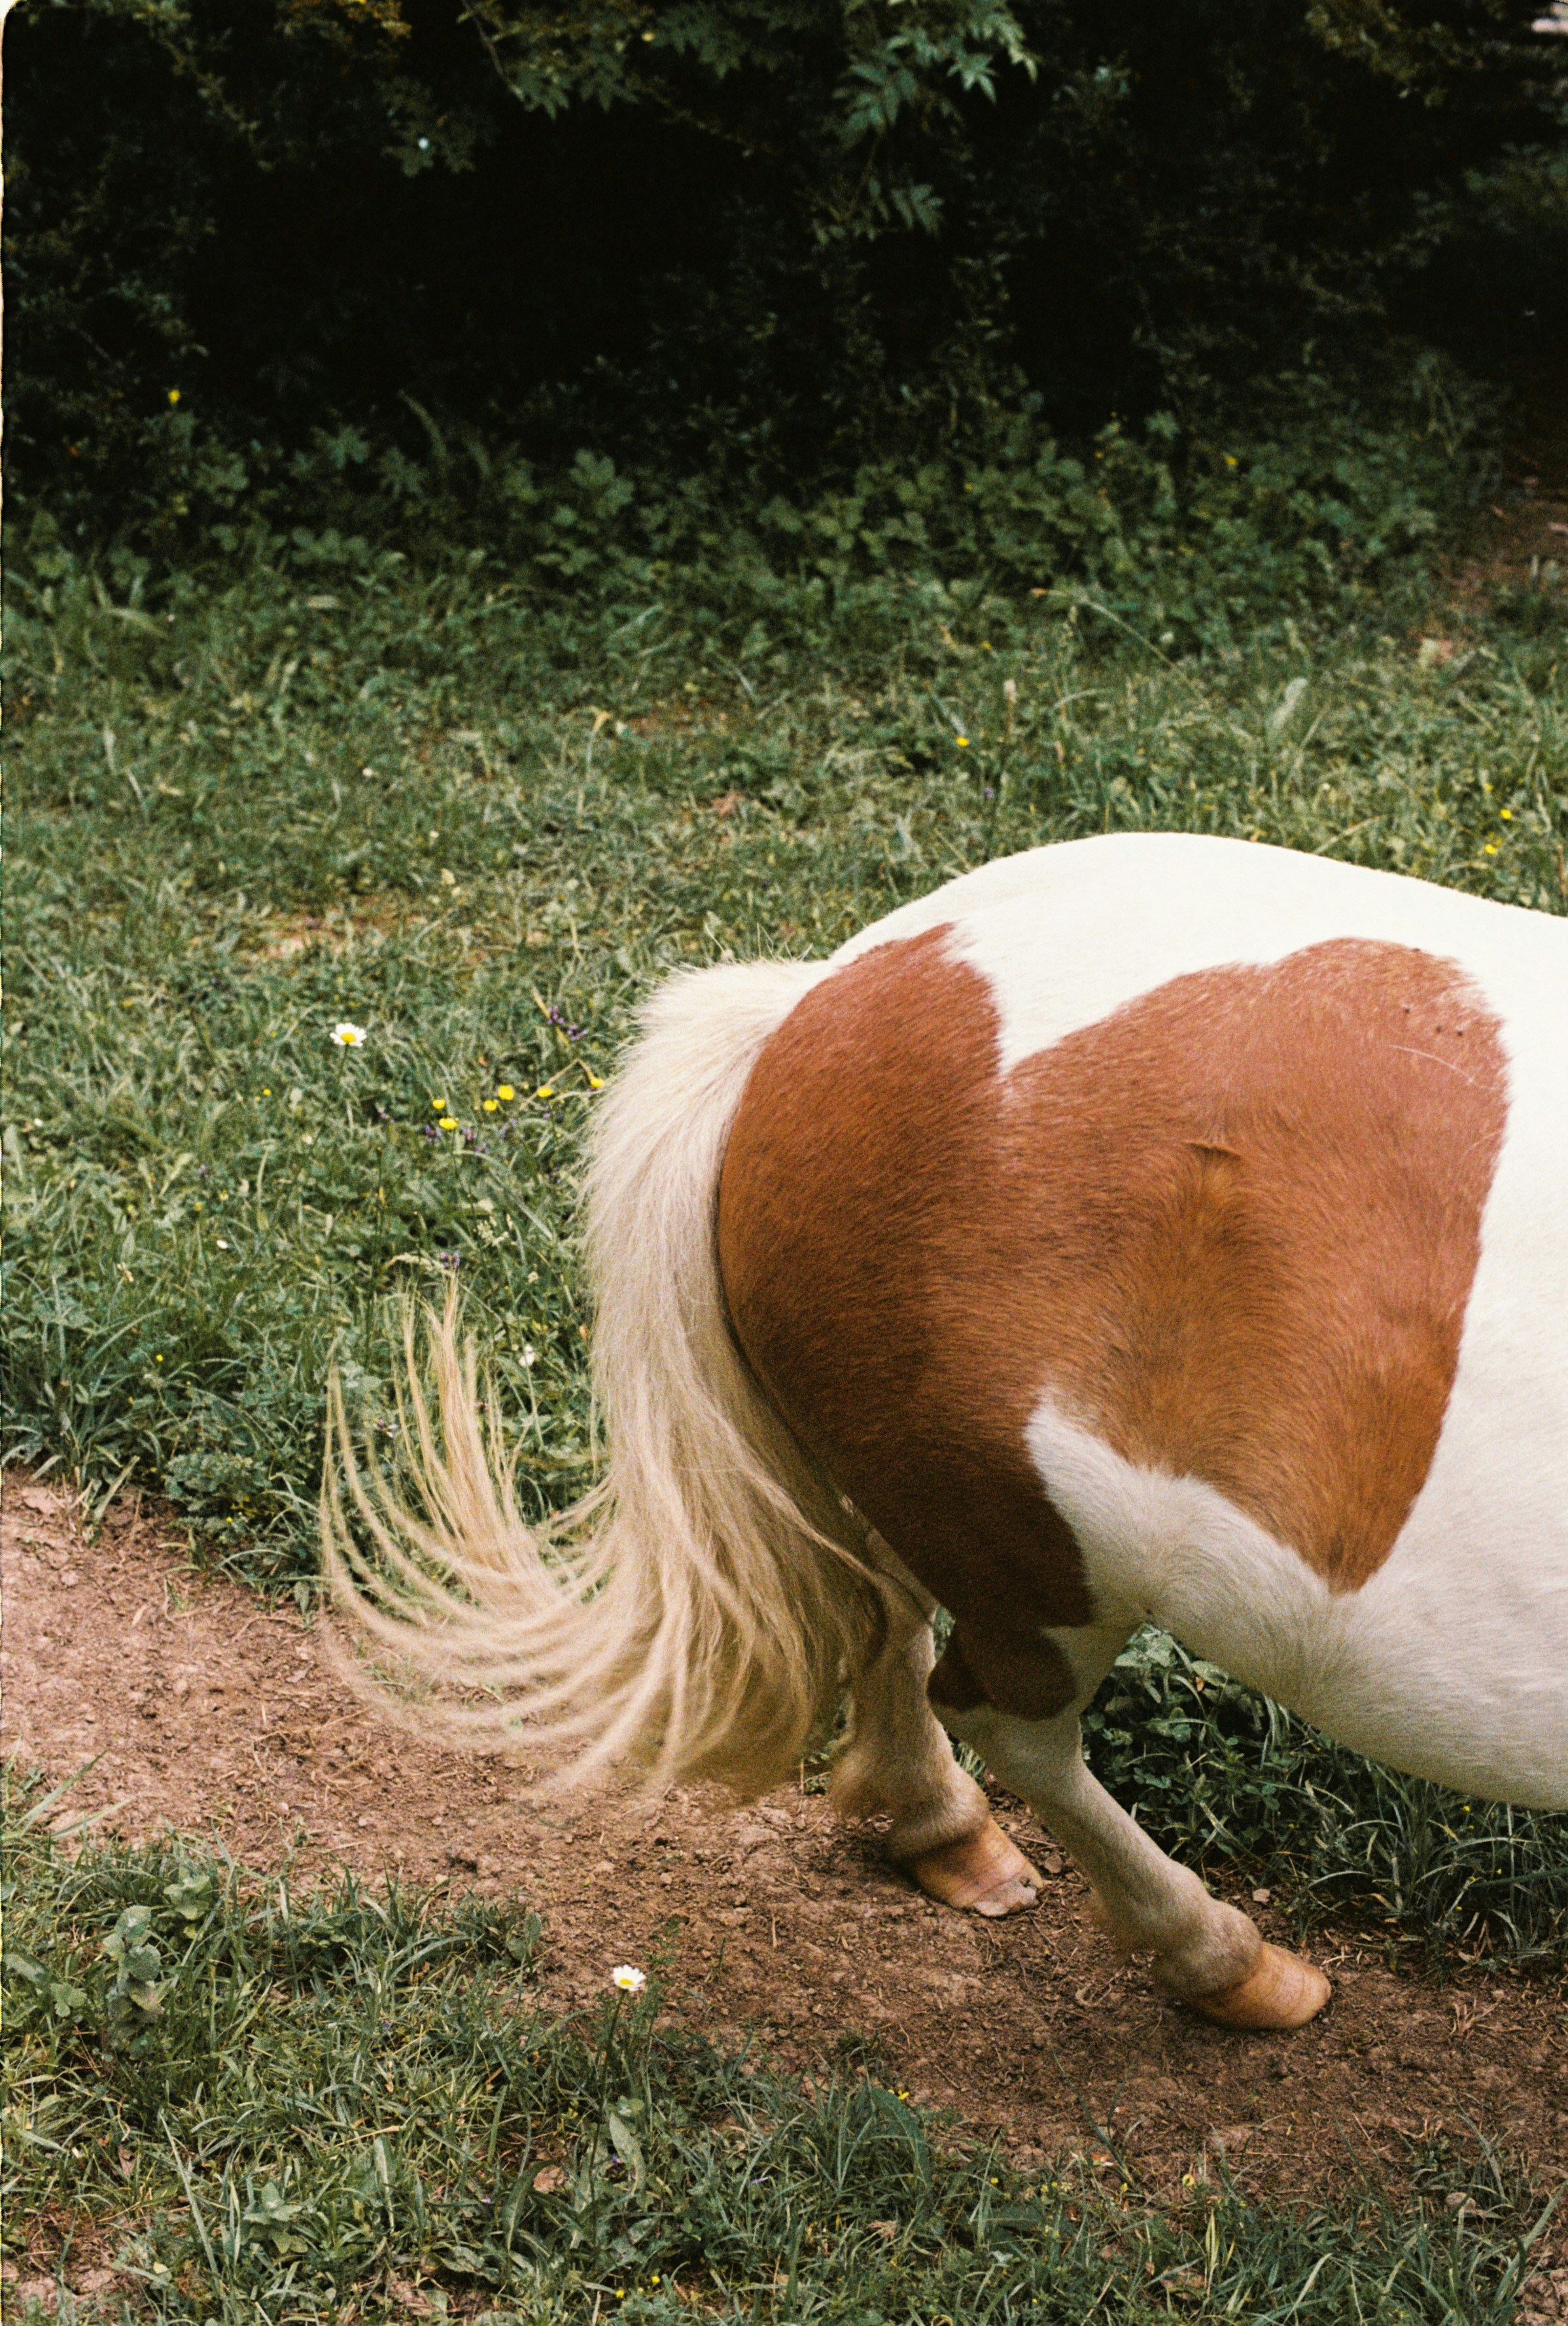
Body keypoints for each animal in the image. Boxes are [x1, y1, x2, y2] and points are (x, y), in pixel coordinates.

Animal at [325, 832, 1567, 2032]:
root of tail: (831, 993)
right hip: (1040, 1557)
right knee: (1001, 1716)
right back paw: (1216, 1956)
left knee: (885, 1597)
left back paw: (939, 1827)